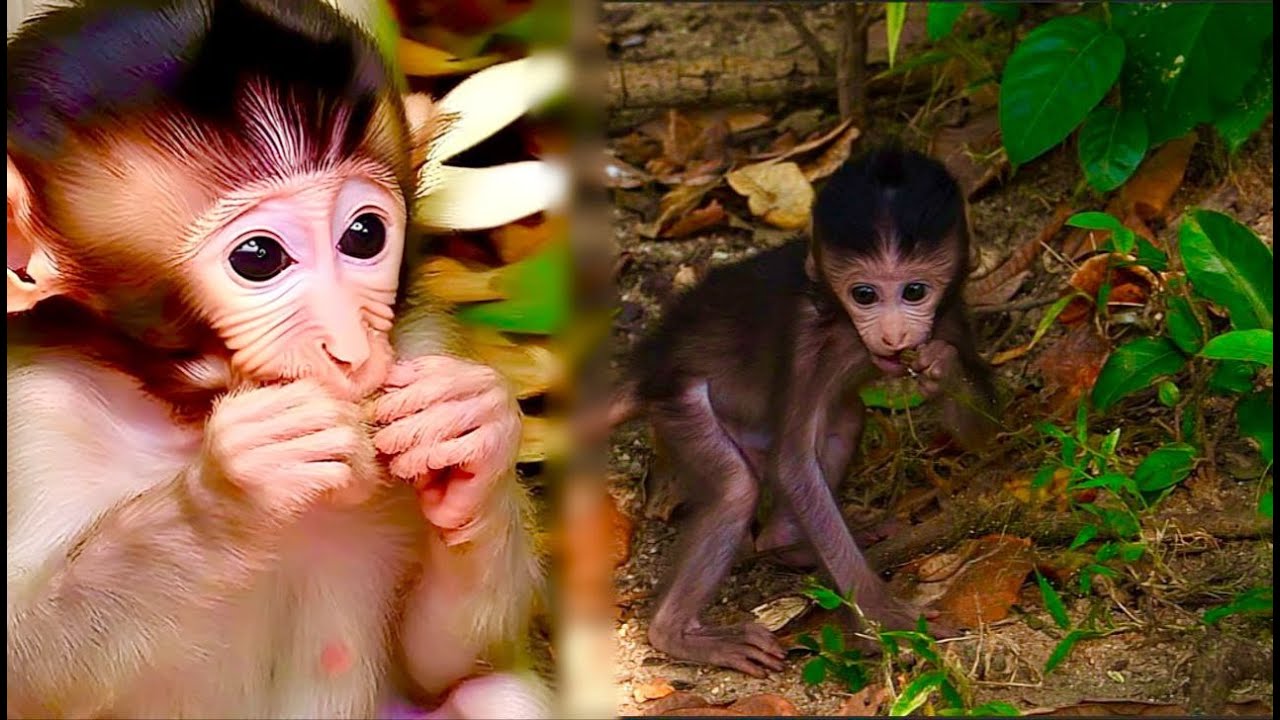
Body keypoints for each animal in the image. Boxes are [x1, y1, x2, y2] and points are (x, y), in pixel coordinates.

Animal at [6, 0, 546, 717]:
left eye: (365, 235)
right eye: (258, 257)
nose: (351, 349)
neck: (183, 409)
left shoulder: (425, 341)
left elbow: (444, 663)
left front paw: (473, 427)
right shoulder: (34, 418)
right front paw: (231, 492)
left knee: (496, 693)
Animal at [608, 148, 999, 677]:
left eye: (915, 292)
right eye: (864, 294)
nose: (894, 336)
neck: (842, 323)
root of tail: (653, 360)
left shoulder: (952, 313)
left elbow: (985, 434)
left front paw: (940, 366)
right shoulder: (805, 338)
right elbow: (794, 464)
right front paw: (885, 616)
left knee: (845, 419)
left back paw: (789, 545)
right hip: (680, 402)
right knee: (737, 487)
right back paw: (676, 633)